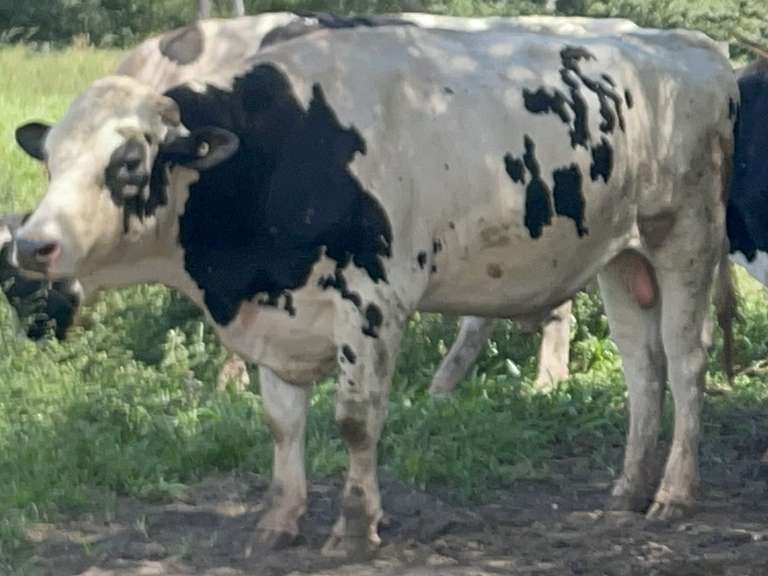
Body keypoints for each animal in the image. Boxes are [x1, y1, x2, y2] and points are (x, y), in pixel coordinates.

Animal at [12, 18, 737, 555]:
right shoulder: (277, 310)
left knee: (685, 361)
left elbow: (355, 421)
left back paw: (673, 494)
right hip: (622, 257)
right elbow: (282, 422)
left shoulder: (371, 299)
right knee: (642, 368)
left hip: (684, 236)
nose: (31, 246)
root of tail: (694, 47)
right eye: (50, 160)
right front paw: (279, 520)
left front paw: (356, 528)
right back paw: (626, 491)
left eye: (129, 162)